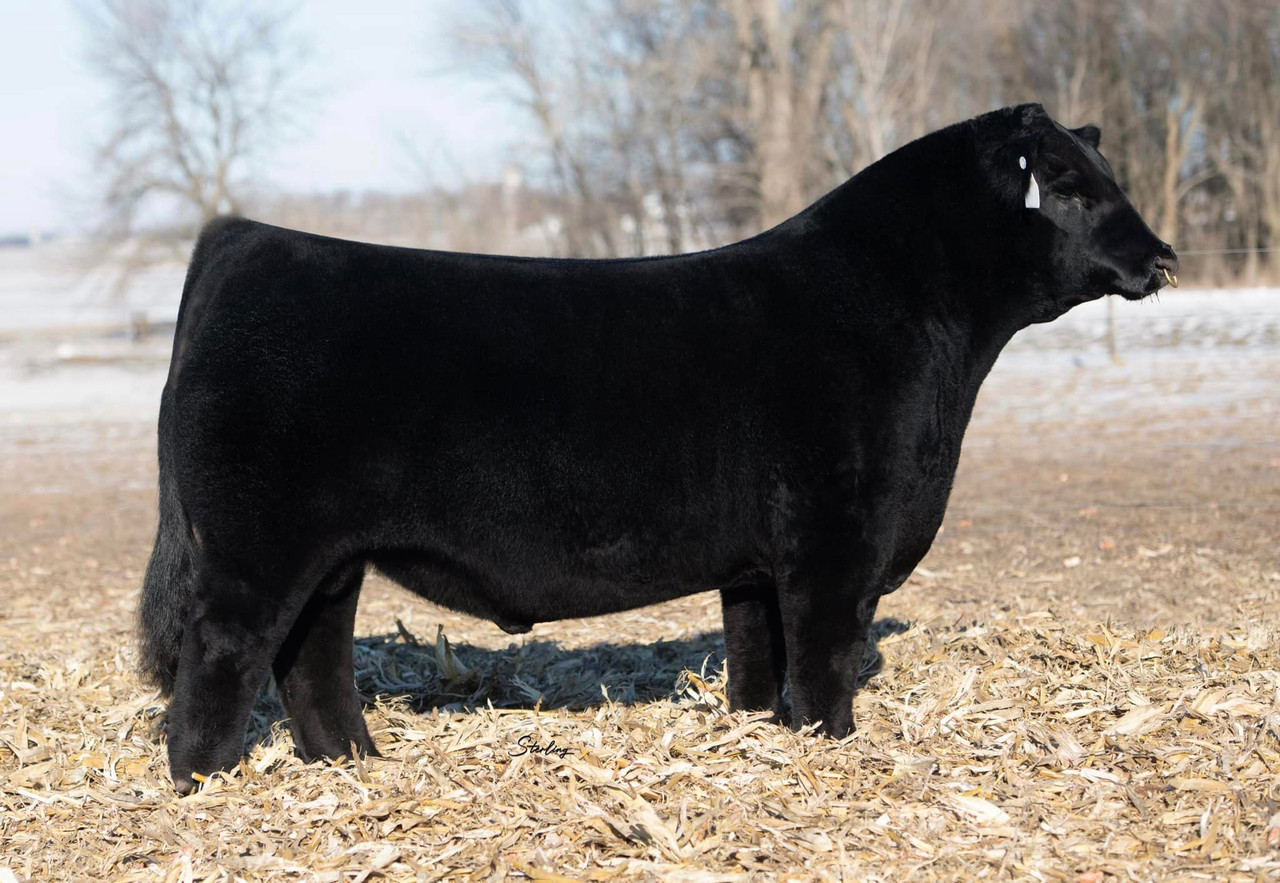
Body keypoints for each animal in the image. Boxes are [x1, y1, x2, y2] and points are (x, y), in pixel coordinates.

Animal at [140, 104, 1177, 793]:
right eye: (1072, 189)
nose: (1162, 256)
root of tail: (244, 239)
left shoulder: (762, 559)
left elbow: (761, 657)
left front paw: (764, 730)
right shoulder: (837, 537)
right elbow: (826, 656)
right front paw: (832, 744)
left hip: (331, 557)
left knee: (312, 658)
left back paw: (355, 762)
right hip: (254, 551)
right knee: (222, 661)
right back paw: (208, 785)